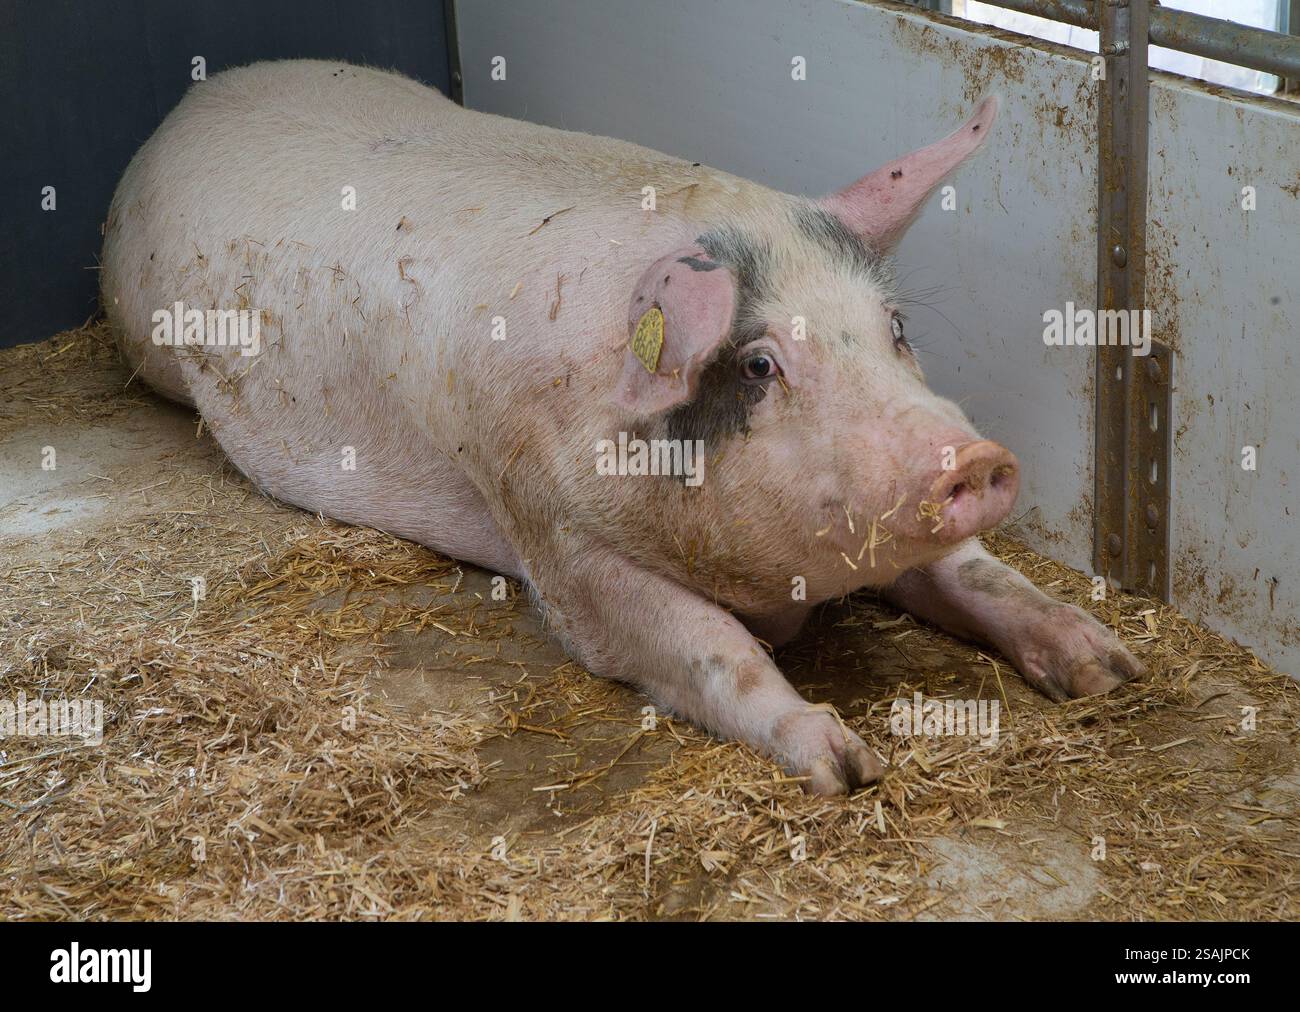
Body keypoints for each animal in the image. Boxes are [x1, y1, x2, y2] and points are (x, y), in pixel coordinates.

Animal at [101, 60, 1143, 795]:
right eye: (759, 366)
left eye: (894, 329)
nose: (974, 458)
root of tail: (187, 107)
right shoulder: (549, 528)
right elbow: (706, 644)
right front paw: (845, 764)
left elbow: (977, 574)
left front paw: (1113, 669)